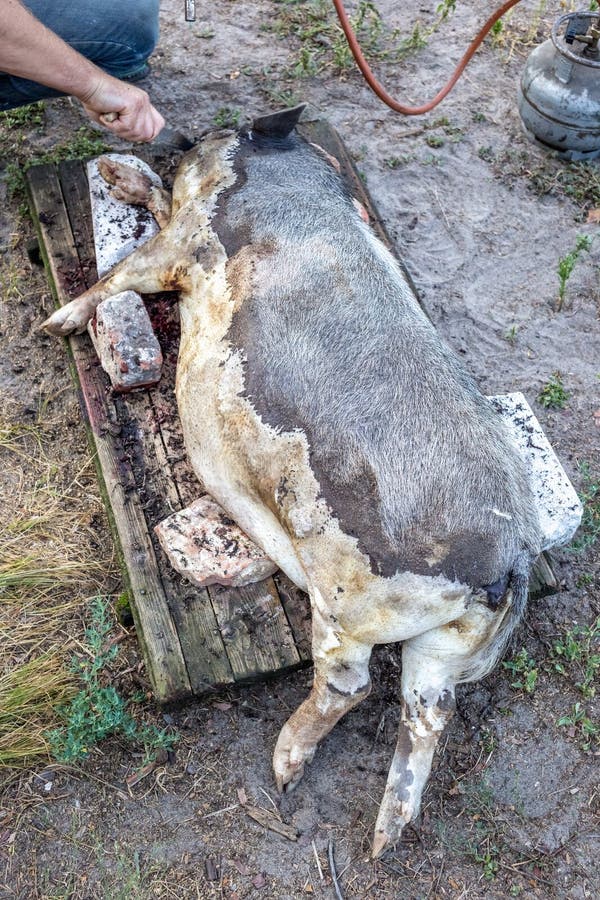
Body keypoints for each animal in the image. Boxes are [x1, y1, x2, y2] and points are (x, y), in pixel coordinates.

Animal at [42, 105, 541, 857]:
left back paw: (281, 770)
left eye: (213, 135)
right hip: (444, 647)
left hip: (350, 594)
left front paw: (55, 322)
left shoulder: (188, 239)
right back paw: (383, 840)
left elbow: (125, 270)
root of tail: (509, 562)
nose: (179, 136)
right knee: (429, 710)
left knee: (350, 685)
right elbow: (153, 208)